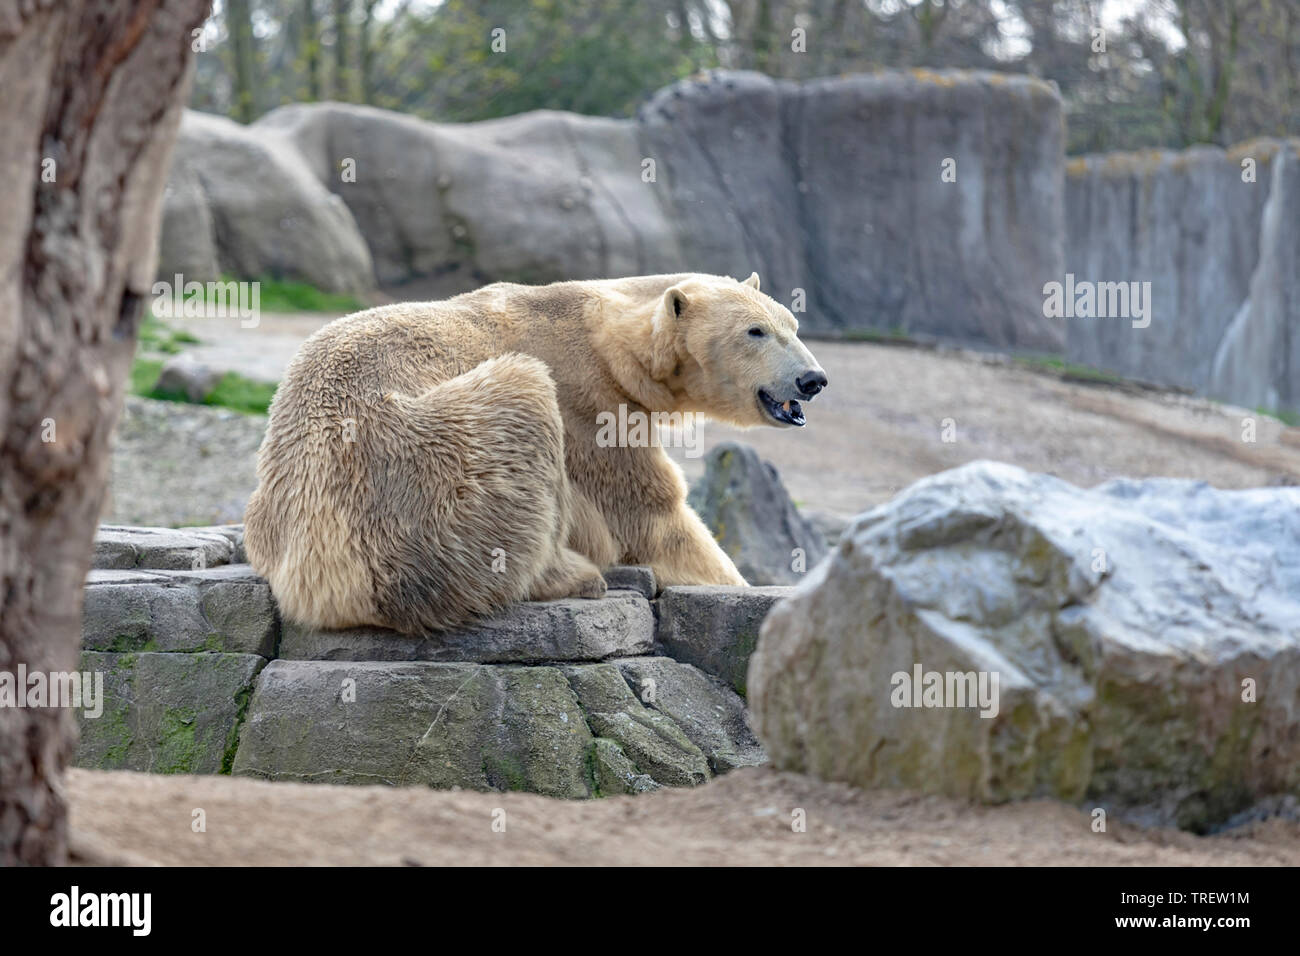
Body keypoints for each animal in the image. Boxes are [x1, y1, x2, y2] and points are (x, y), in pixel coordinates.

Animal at [243, 272, 827, 634]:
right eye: (754, 331)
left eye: (793, 326)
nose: (813, 379)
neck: (608, 336)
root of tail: (323, 586)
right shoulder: (590, 403)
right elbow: (652, 516)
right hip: (427, 468)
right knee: (521, 403)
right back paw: (580, 576)